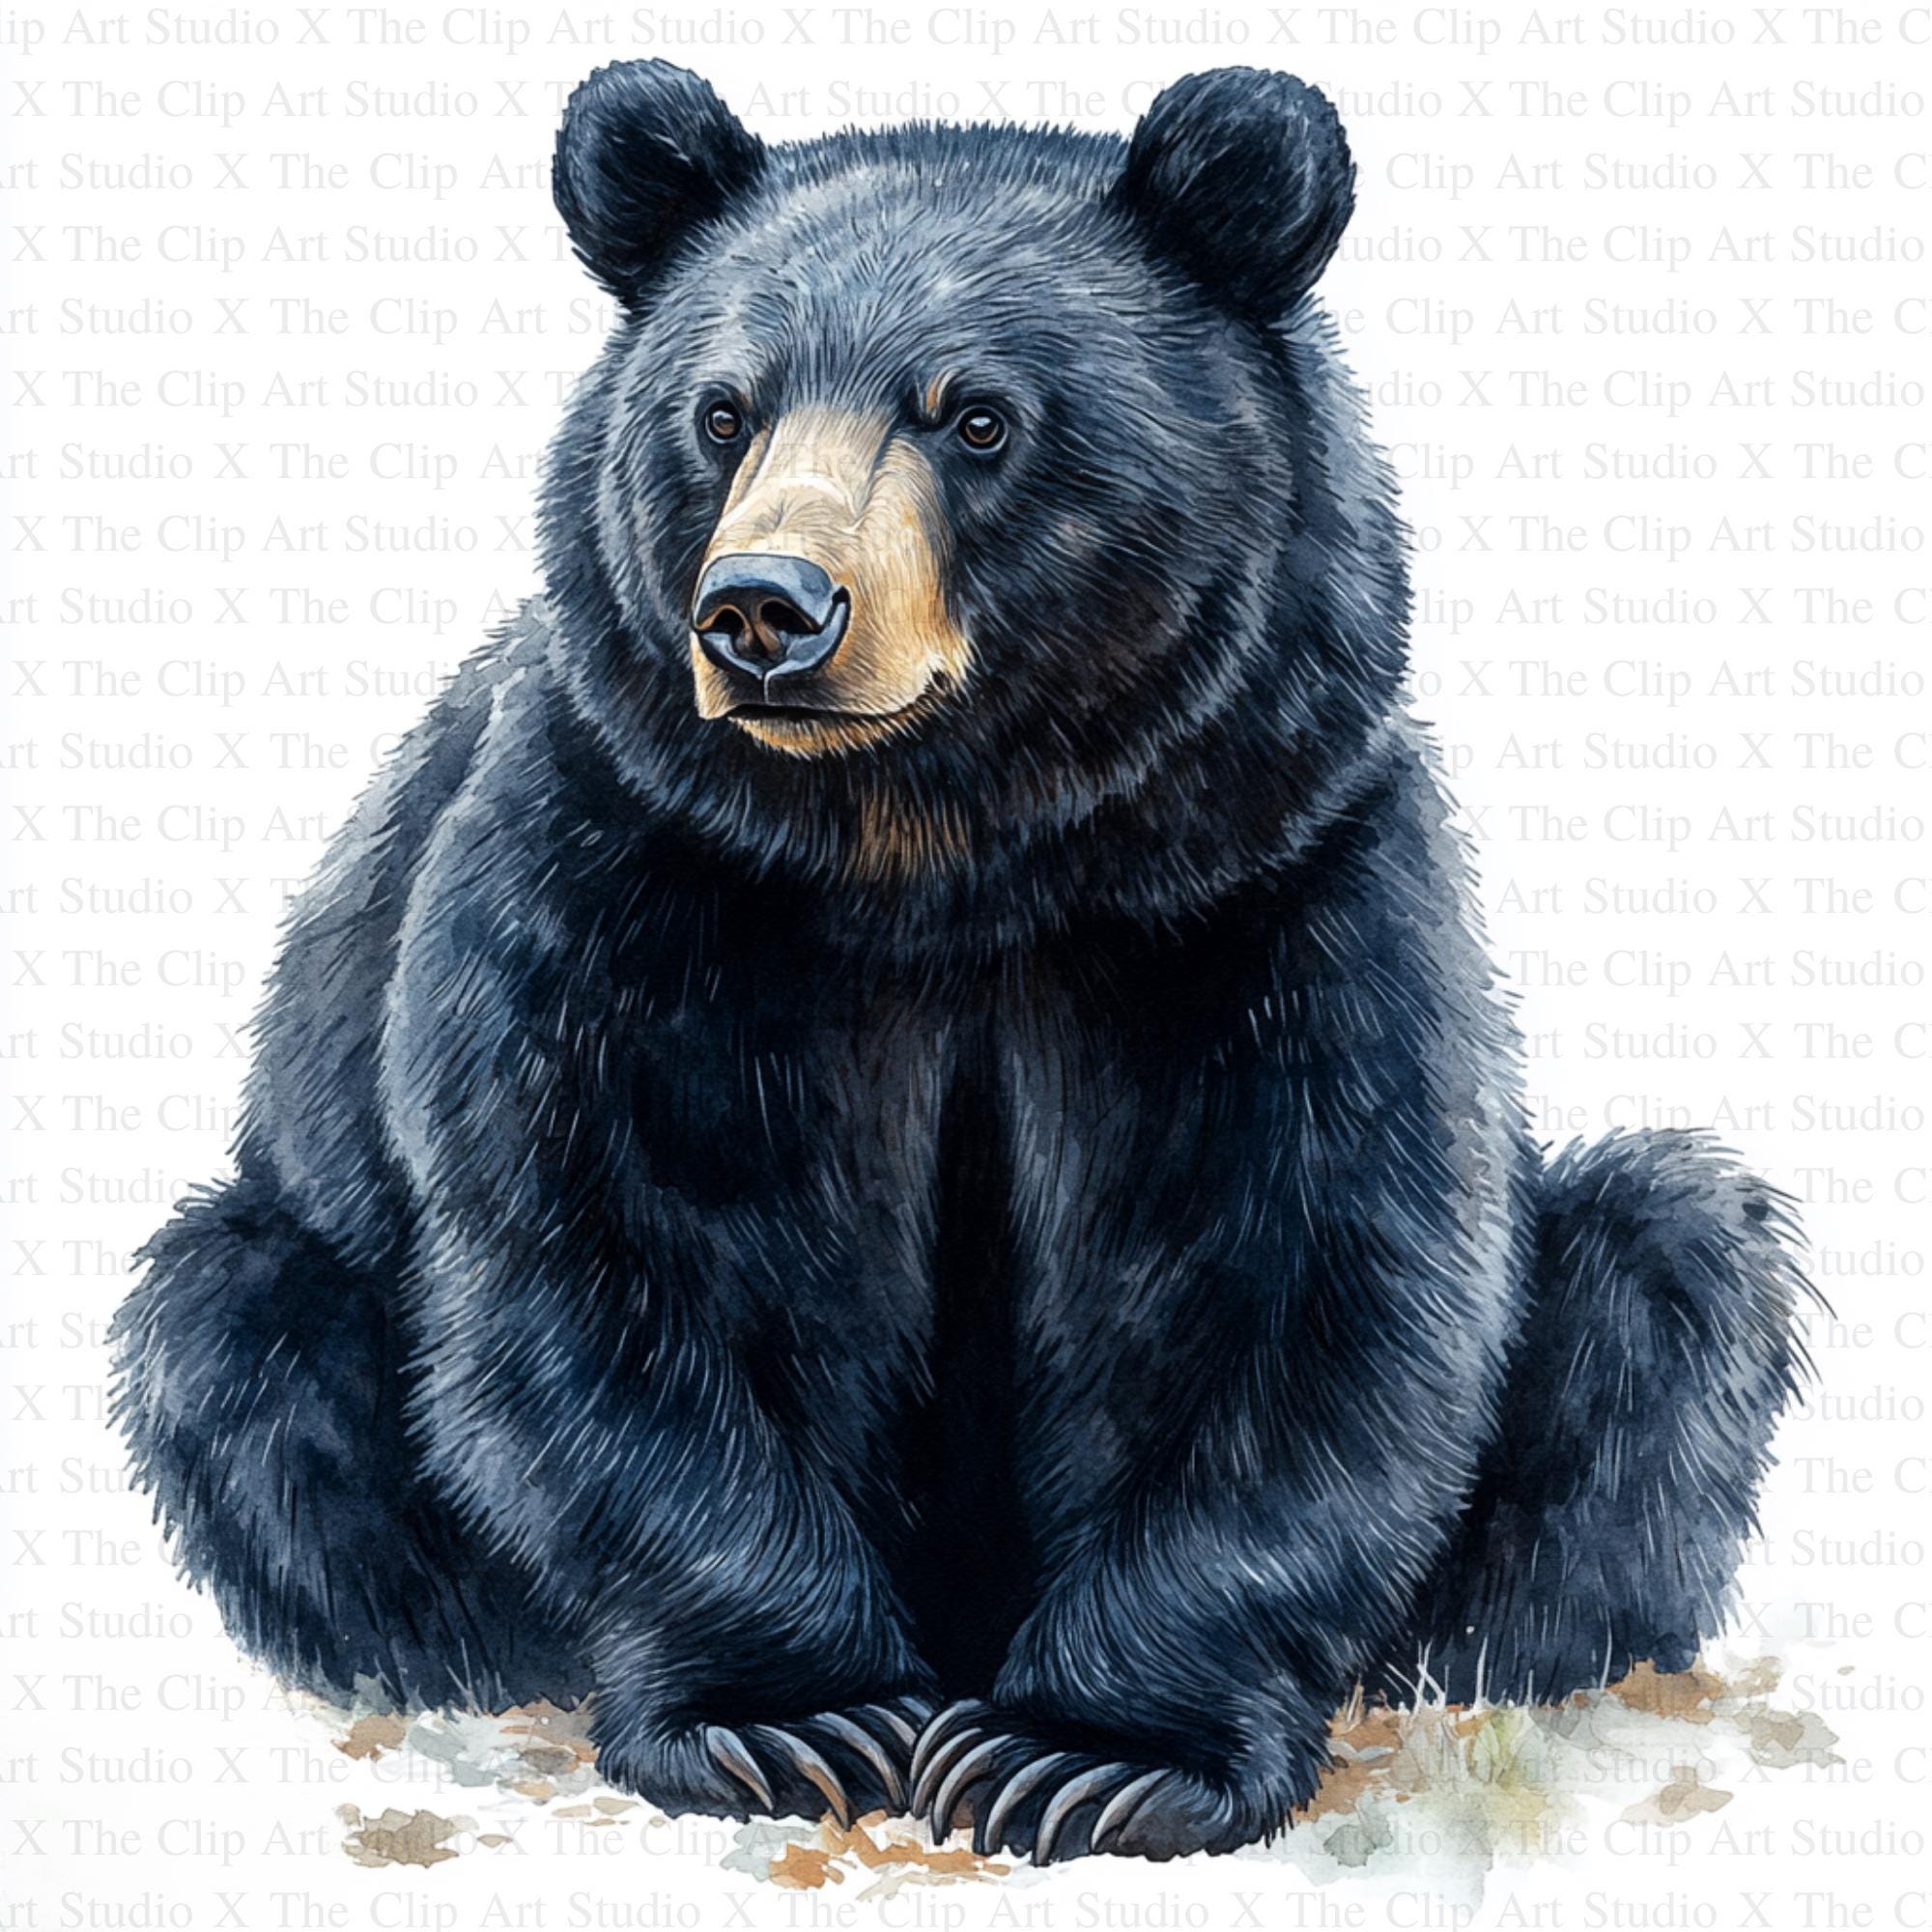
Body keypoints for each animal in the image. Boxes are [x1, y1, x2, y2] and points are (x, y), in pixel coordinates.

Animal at [111, 61, 1811, 1864]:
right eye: (724, 412)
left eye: (975, 416)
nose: (764, 608)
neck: (946, 853)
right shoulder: (621, 869)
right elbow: (603, 1260)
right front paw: (795, 1717)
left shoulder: (1266, 879)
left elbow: (1315, 1273)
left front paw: (1091, 1752)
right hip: (287, 1289)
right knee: (233, 1336)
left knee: (1669, 1272)